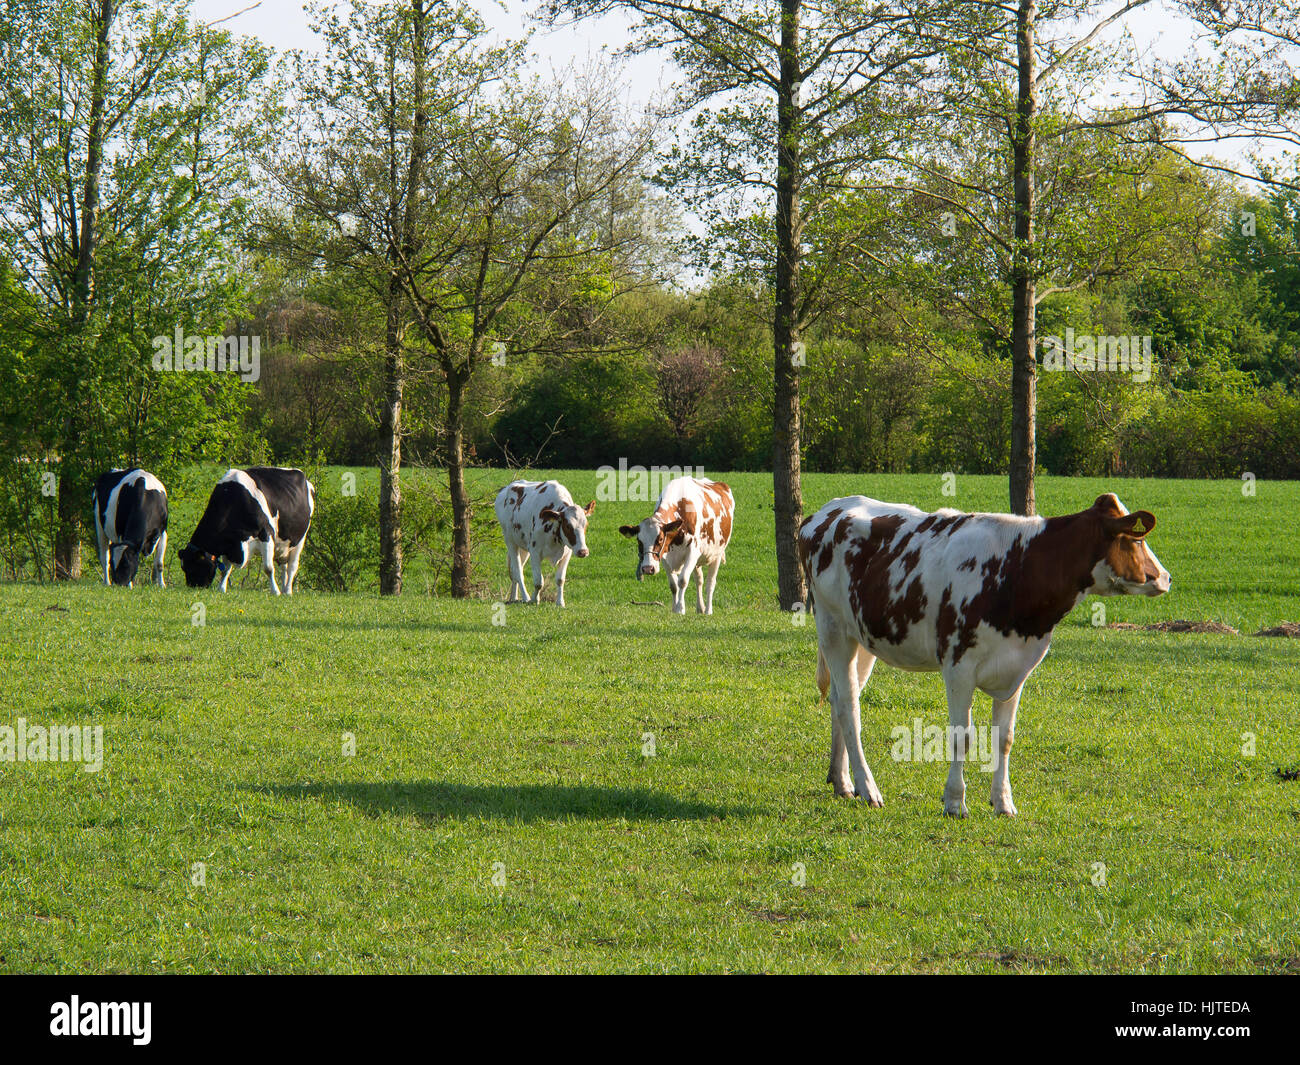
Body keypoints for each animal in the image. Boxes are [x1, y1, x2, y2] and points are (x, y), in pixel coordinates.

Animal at [178, 467, 315, 595]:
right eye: (184, 569)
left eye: (193, 567)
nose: (193, 586)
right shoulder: (228, 543)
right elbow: (226, 569)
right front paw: (221, 588)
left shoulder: (266, 534)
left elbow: (268, 568)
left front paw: (275, 592)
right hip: (282, 545)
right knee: (284, 567)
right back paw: (284, 588)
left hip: (300, 539)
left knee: (292, 567)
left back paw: (287, 591)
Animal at [619, 477, 734, 615]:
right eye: (639, 541)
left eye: (660, 539)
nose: (648, 568)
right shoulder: (664, 556)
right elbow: (673, 585)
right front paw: (674, 608)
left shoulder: (692, 552)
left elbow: (682, 580)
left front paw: (680, 608)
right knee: (699, 580)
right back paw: (700, 608)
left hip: (716, 554)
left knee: (710, 583)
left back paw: (708, 610)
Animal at [798, 493, 1170, 817]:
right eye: (1137, 541)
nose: (1166, 577)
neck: (1017, 569)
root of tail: (825, 512)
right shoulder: (958, 666)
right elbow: (961, 736)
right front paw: (954, 802)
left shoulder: (1017, 668)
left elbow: (1004, 738)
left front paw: (1003, 802)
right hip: (833, 629)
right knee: (849, 706)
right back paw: (868, 787)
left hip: (862, 638)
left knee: (840, 698)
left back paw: (842, 781)